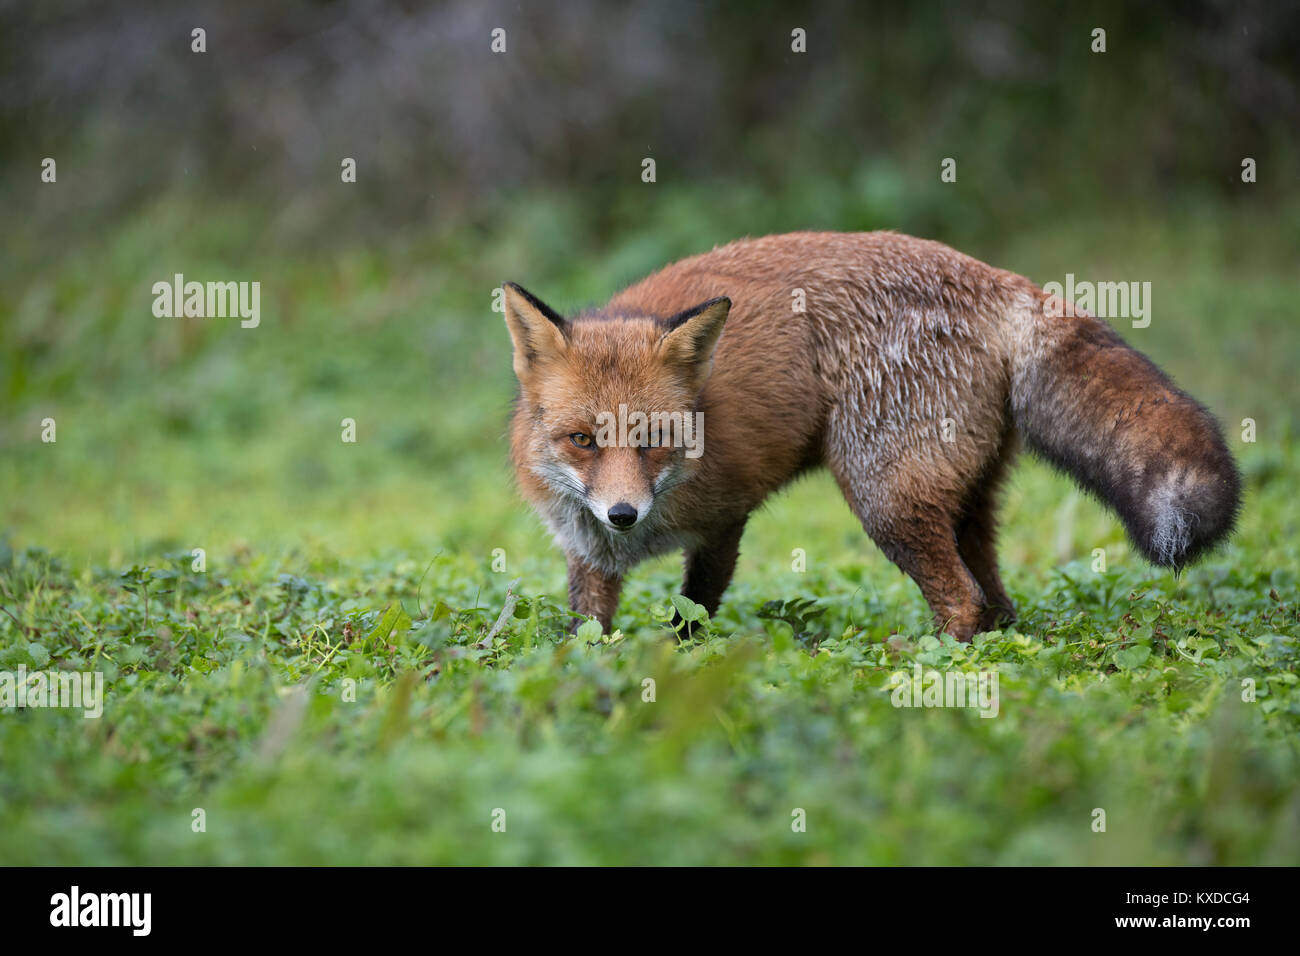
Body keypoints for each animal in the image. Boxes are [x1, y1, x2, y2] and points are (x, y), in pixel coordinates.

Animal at [503, 231, 1241, 642]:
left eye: (654, 436)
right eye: (581, 440)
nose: (623, 514)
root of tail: (998, 277)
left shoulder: (725, 521)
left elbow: (693, 614)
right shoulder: (586, 553)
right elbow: (588, 631)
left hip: (885, 499)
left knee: (964, 599)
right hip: (963, 498)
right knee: (997, 601)